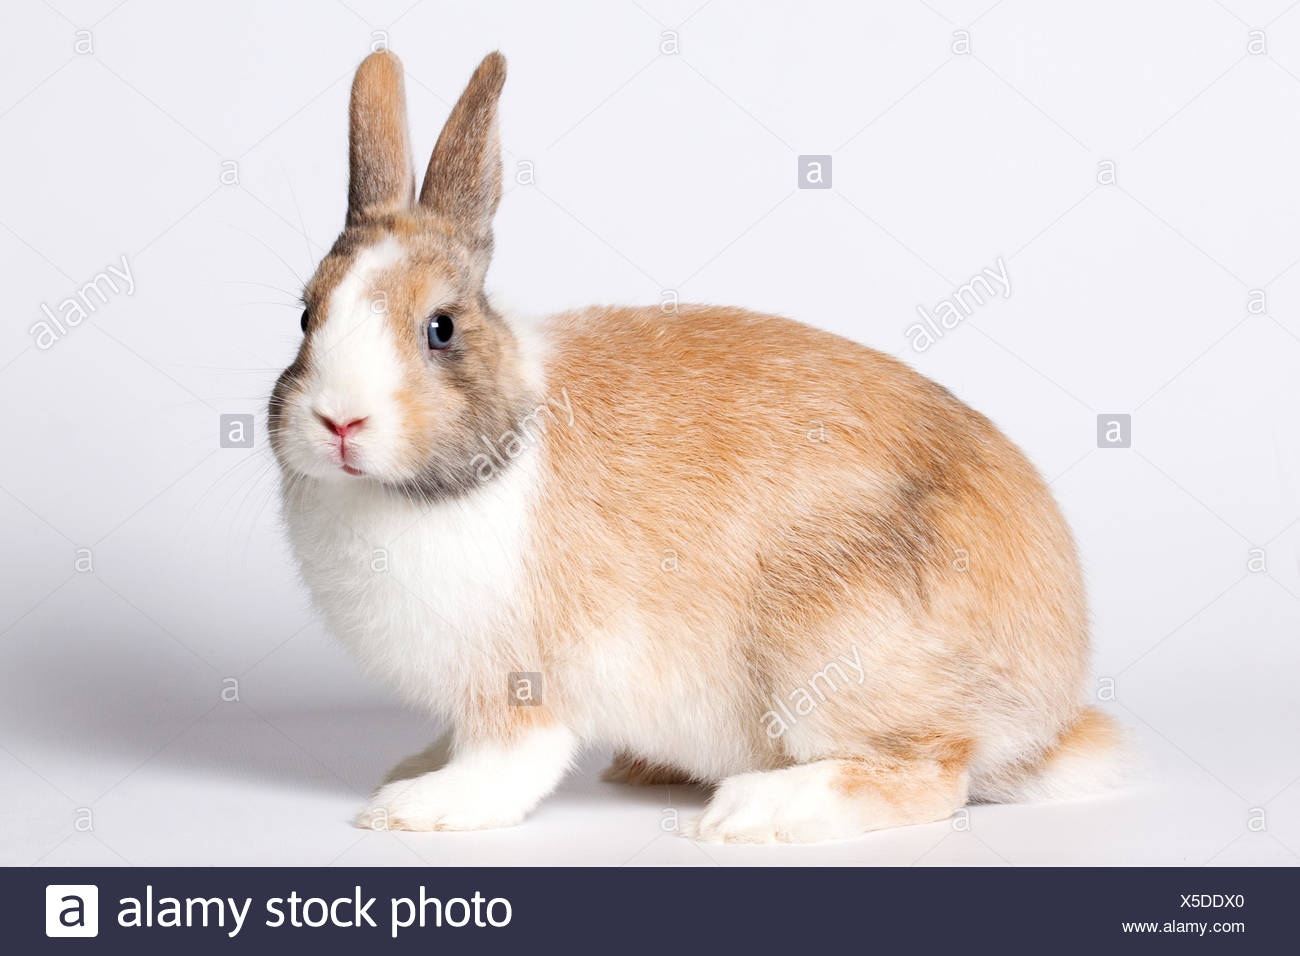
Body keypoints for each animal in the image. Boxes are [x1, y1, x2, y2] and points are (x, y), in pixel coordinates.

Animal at [268, 49, 1121, 844]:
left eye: (440, 328)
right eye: (307, 316)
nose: (339, 422)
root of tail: (1053, 712)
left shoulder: (523, 683)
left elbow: (509, 760)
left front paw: (416, 807)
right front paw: (411, 768)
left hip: (836, 648)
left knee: (934, 769)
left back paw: (755, 811)